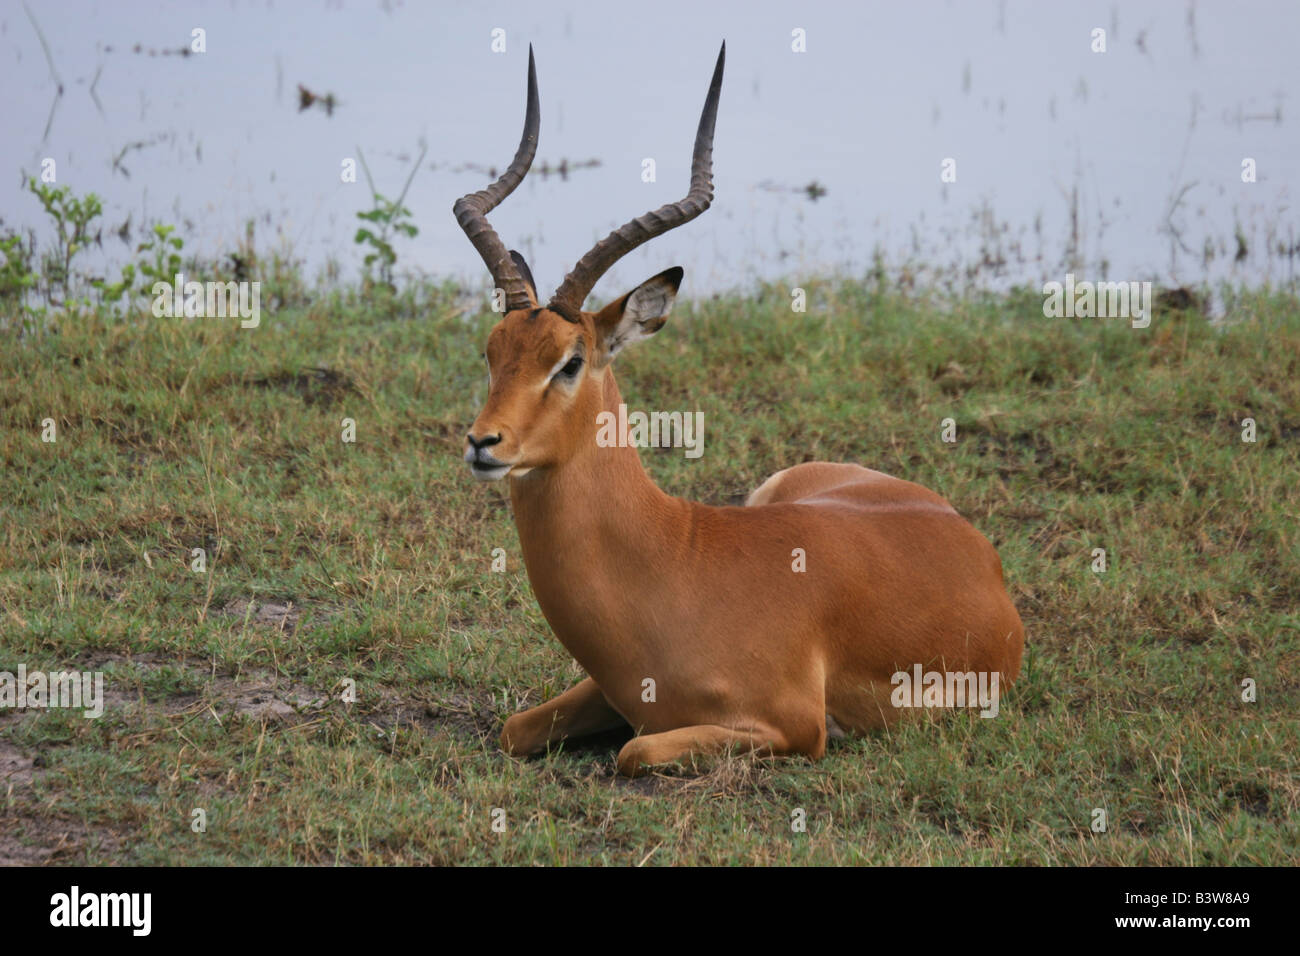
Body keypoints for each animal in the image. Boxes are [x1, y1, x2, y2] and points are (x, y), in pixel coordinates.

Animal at [456, 44, 1025, 777]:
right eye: (493, 350)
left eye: (569, 360)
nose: (483, 442)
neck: (674, 563)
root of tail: (977, 547)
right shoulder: (608, 691)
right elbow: (514, 726)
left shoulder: (788, 729)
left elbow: (632, 752)